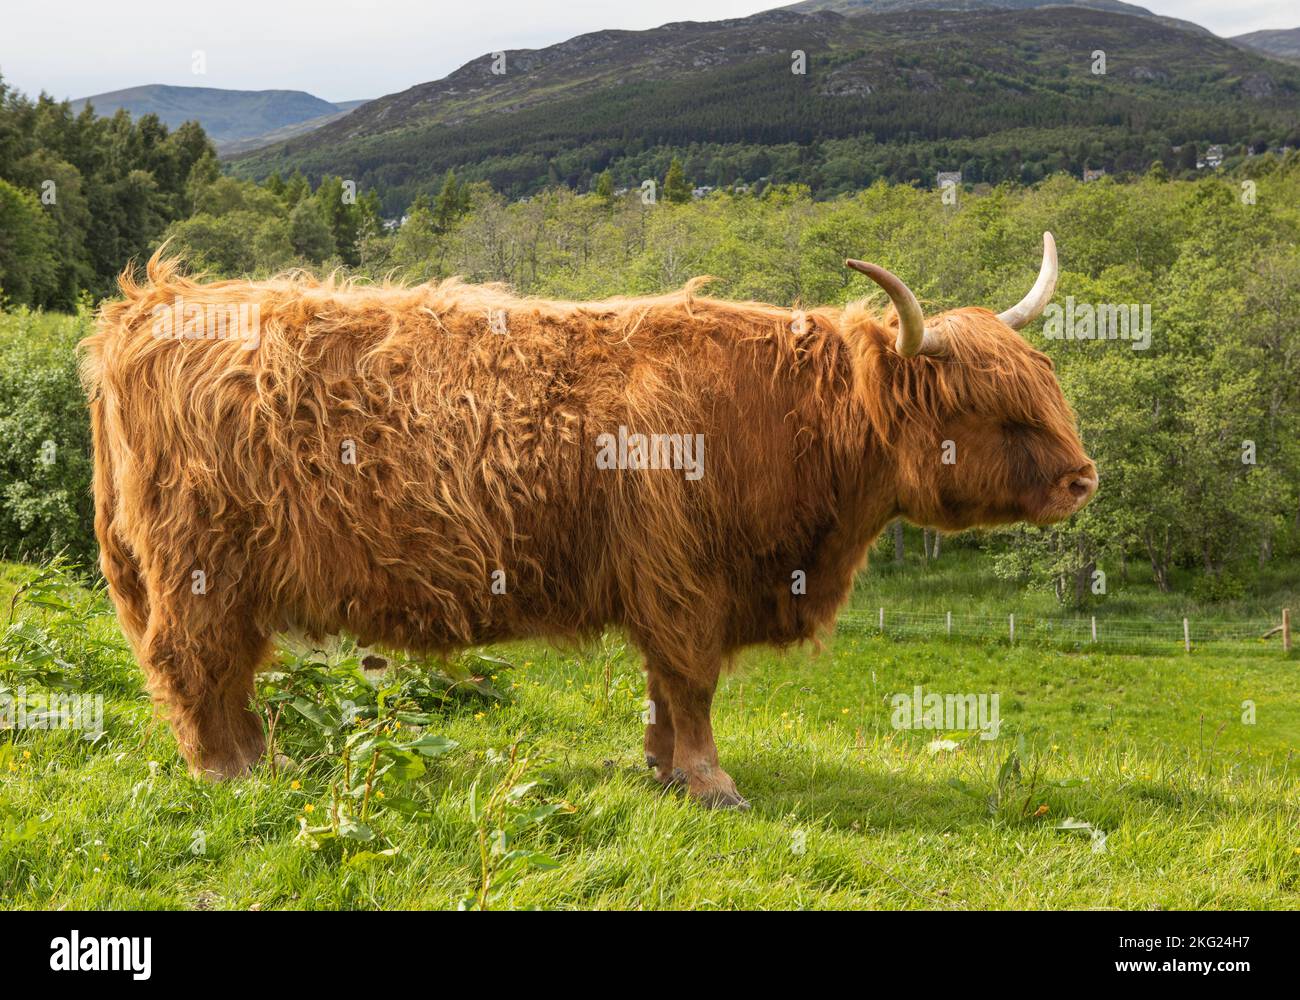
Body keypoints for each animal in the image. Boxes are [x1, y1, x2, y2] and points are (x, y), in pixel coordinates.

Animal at [82, 233, 1095, 807]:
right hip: (198, 570)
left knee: (226, 671)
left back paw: (262, 761)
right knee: (192, 664)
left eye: (1045, 388)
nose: (1085, 479)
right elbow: (692, 685)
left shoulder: (669, 582)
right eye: (995, 411)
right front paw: (712, 783)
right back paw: (229, 774)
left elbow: (664, 691)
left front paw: (662, 770)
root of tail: (148, 303)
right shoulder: (685, 579)